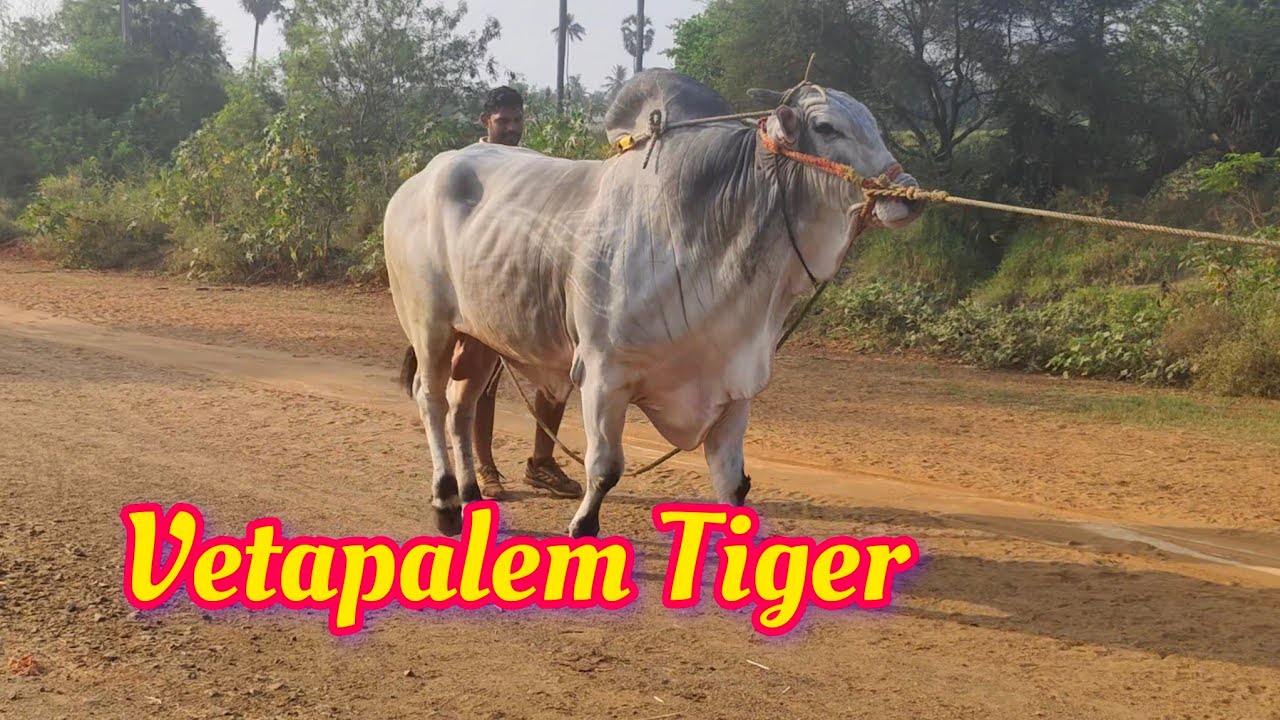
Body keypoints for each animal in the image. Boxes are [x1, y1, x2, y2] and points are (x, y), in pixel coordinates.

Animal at [384, 70, 923, 538]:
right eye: (827, 127)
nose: (909, 195)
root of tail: (415, 182)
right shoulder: (603, 374)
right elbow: (605, 468)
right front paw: (582, 529)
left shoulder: (734, 386)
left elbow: (733, 482)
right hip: (429, 325)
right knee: (431, 399)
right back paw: (446, 502)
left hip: (481, 336)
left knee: (462, 407)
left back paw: (473, 495)